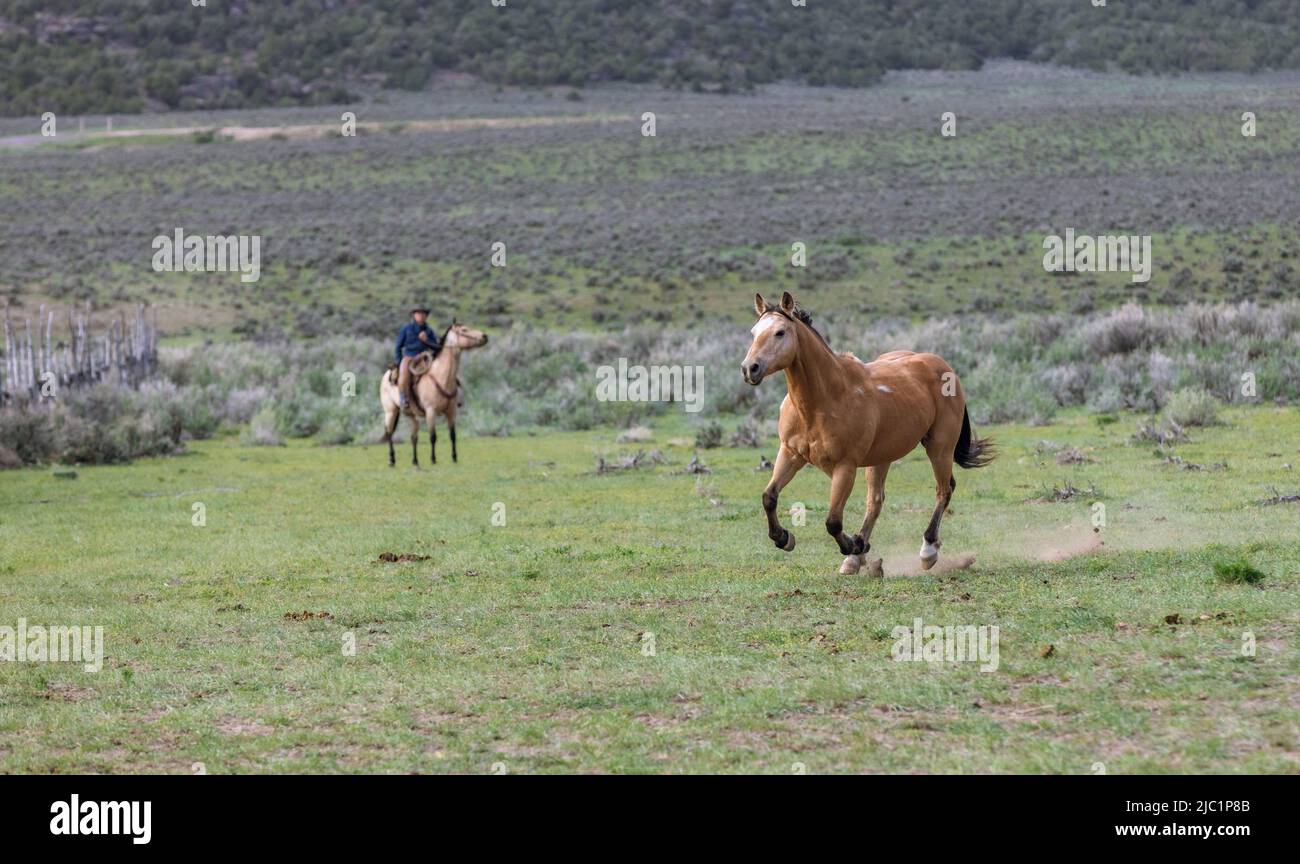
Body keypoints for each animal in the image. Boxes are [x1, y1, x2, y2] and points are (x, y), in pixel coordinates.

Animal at [380, 320, 489, 467]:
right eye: (464, 330)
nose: (484, 336)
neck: (441, 377)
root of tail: (387, 374)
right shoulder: (431, 412)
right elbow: (433, 436)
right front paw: (433, 459)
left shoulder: (451, 411)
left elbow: (452, 435)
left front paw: (454, 457)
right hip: (390, 411)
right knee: (389, 432)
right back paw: (391, 459)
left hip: (411, 416)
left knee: (413, 437)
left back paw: (415, 461)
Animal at [741, 292, 993, 575]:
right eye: (754, 332)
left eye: (780, 332)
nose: (750, 368)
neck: (824, 399)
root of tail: (943, 366)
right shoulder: (790, 453)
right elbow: (769, 497)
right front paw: (784, 538)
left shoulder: (845, 467)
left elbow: (833, 521)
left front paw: (852, 545)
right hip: (882, 457)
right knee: (876, 500)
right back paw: (856, 557)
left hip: (939, 447)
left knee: (943, 490)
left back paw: (927, 551)